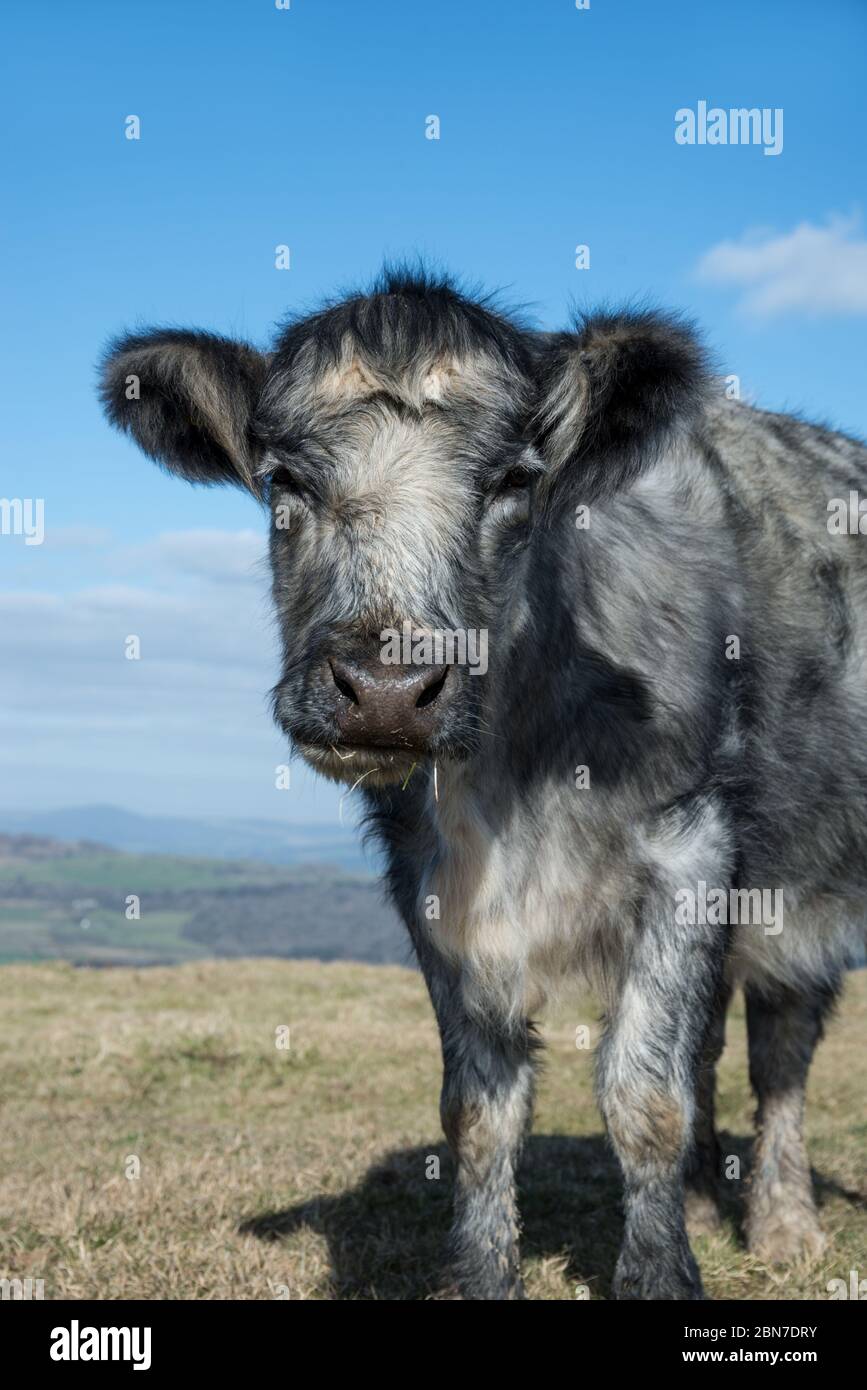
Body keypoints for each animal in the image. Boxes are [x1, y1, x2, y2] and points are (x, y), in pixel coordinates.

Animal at [100, 267, 867, 1299]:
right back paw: (711, 1202)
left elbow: (645, 1095)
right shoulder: (425, 877)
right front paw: (481, 1272)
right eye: (283, 481)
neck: (508, 780)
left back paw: (784, 1225)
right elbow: (476, 1112)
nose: (387, 690)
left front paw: (660, 1272)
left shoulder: (690, 844)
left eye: (513, 480)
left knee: (781, 1036)